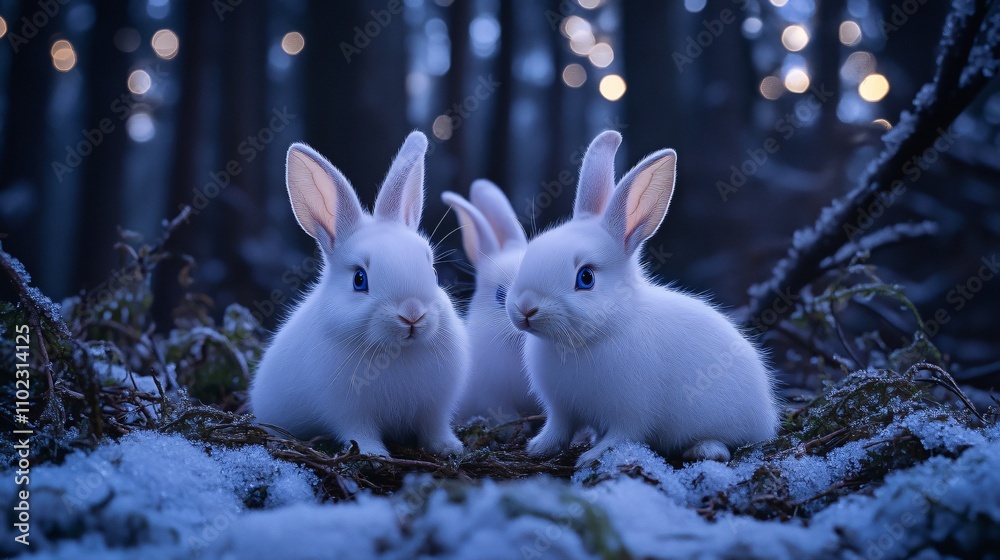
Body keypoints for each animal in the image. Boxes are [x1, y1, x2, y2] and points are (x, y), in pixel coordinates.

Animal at [250, 132, 469, 458]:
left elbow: (434, 429)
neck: (397, 352)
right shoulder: (350, 413)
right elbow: (359, 432)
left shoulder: (434, 411)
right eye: (359, 279)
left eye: (431, 270)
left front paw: (450, 448)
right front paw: (373, 454)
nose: (412, 314)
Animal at [505, 130, 779, 466]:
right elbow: (559, 429)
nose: (525, 309)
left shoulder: (631, 412)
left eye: (586, 278)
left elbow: (622, 435)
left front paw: (592, 456)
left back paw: (705, 449)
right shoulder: (561, 410)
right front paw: (539, 447)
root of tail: (767, 417)